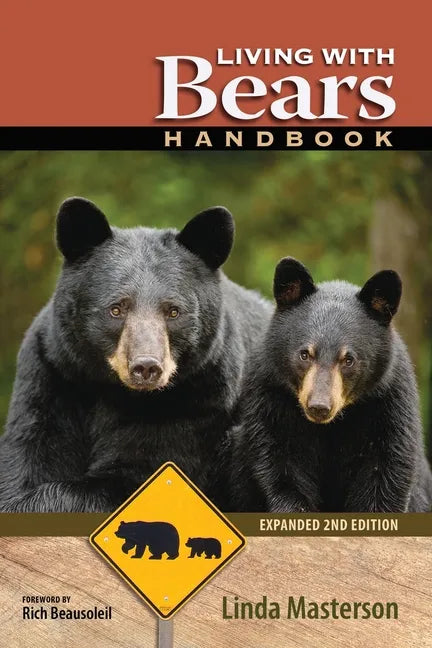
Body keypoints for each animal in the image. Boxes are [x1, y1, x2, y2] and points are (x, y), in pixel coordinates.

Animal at [0, 197, 272, 512]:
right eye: (116, 308)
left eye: (173, 311)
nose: (146, 367)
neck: (114, 390)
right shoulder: (54, 374)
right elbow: (32, 454)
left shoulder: (199, 399)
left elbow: (139, 474)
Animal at [230, 257, 432, 513]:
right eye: (305, 354)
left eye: (348, 359)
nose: (319, 406)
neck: (331, 425)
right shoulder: (272, 399)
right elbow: (281, 466)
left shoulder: (388, 405)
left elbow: (385, 475)